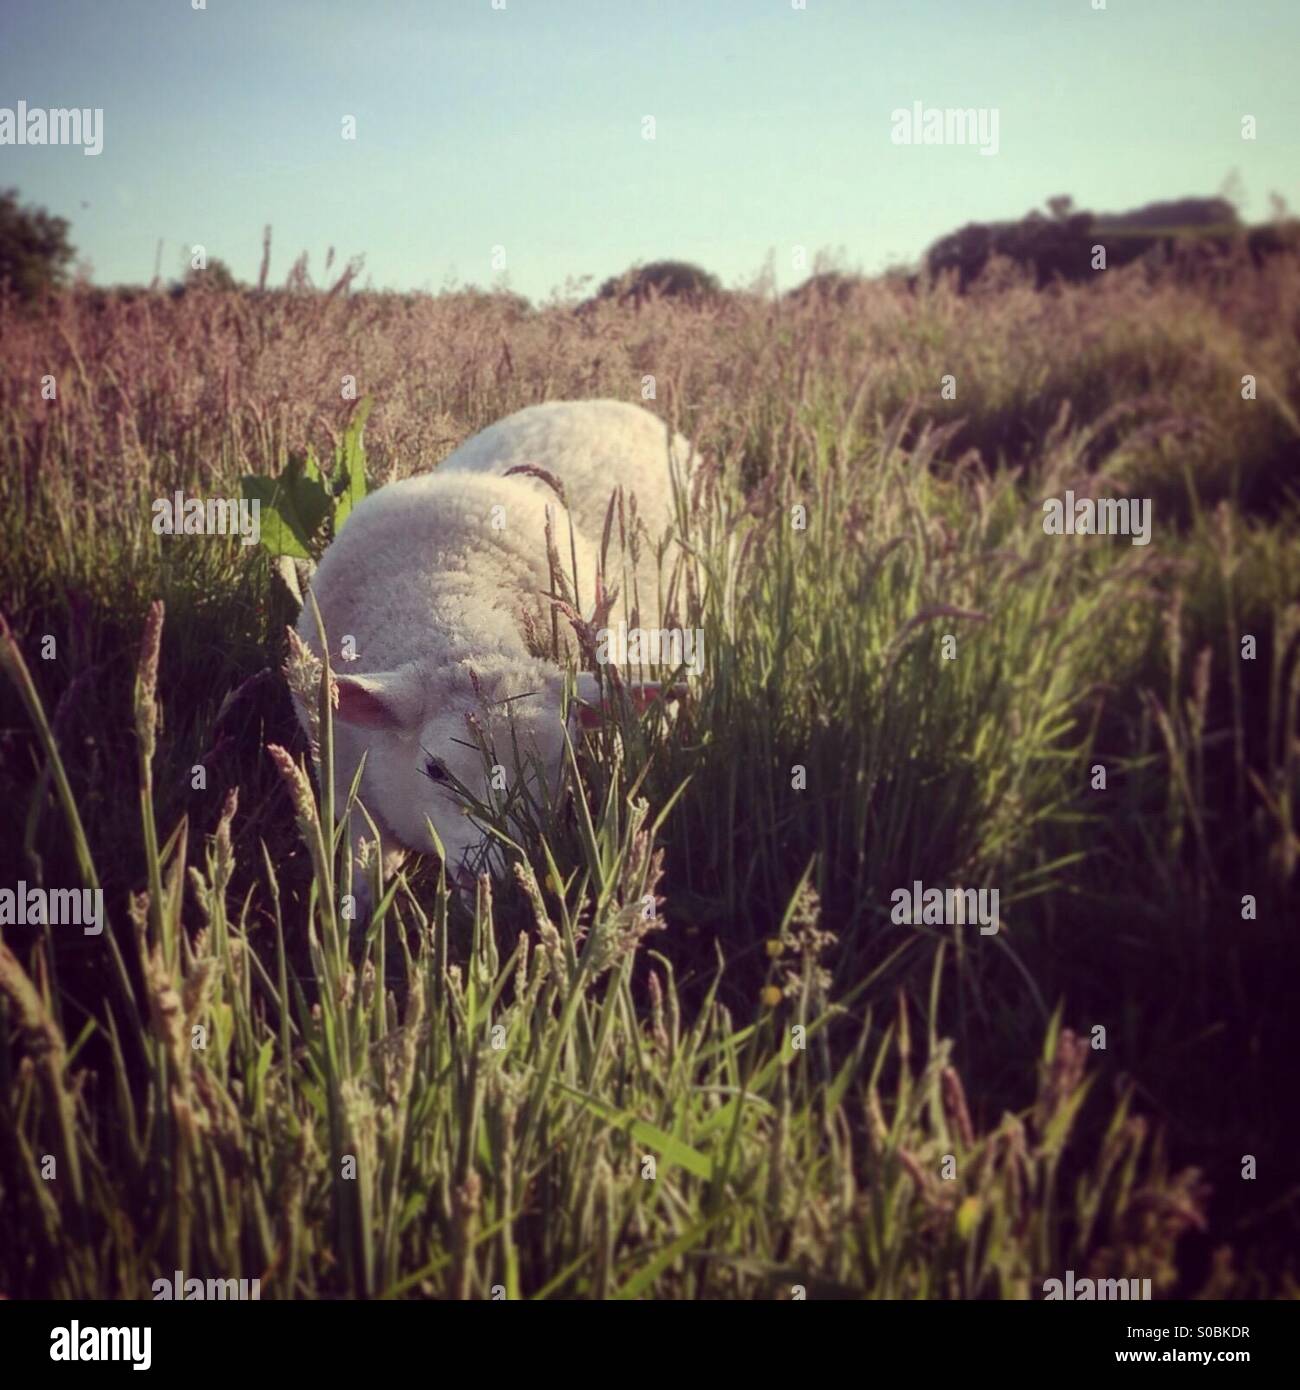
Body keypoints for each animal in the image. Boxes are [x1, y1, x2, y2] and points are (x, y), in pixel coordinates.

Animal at [290, 399, 696, 910]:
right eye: (436, 770)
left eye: (559, 768)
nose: (499, 878)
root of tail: (614, 402)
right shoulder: (354, 794)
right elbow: (365, 871)